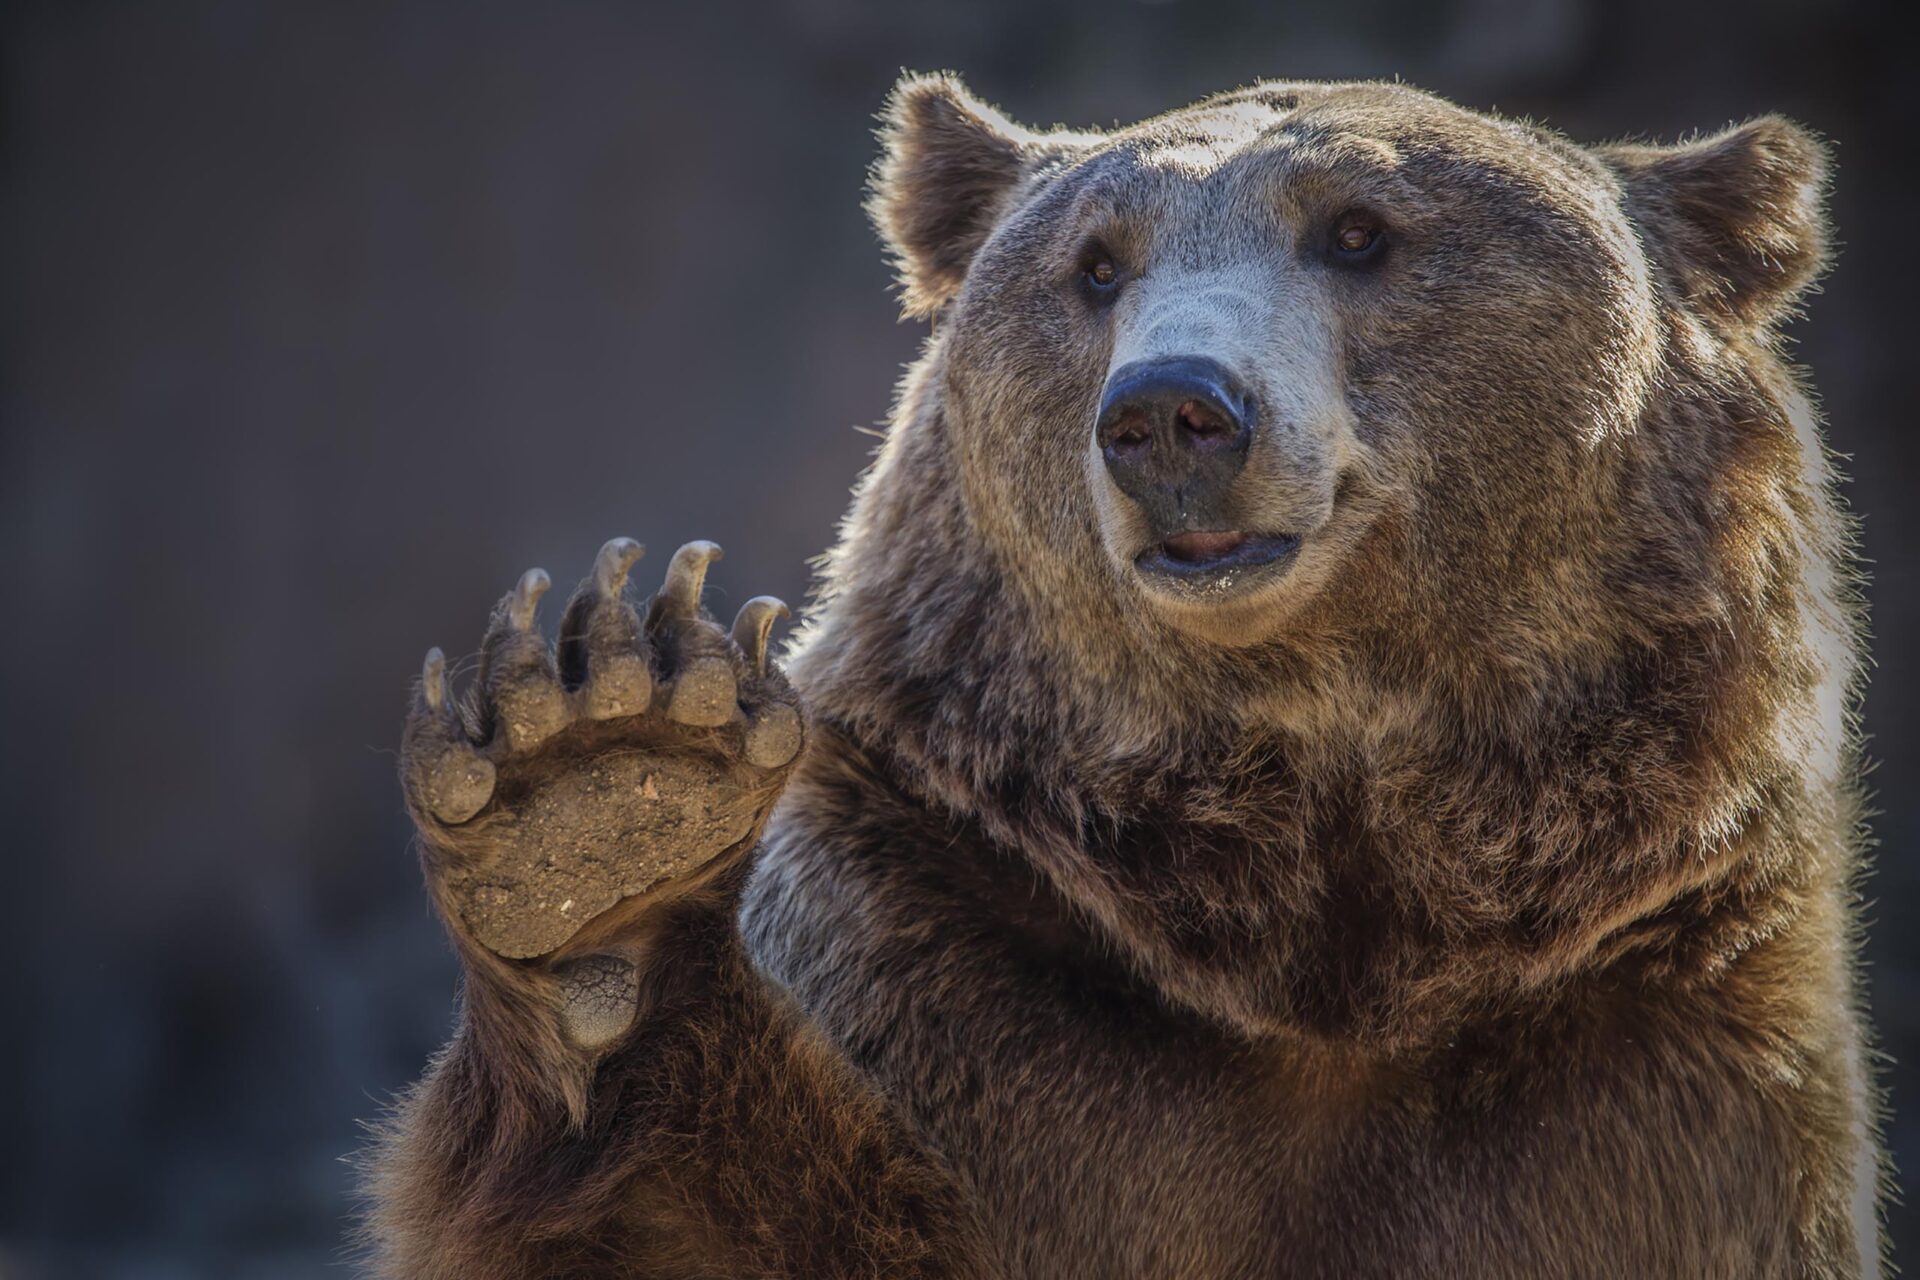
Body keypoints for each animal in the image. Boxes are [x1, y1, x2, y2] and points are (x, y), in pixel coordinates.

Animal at [364, 74, 1885, 1278]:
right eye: (1097, 265)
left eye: (1359, 230)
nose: (1171, 410)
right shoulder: (953, 953)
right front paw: (602, 803)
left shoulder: (1651, 1059)